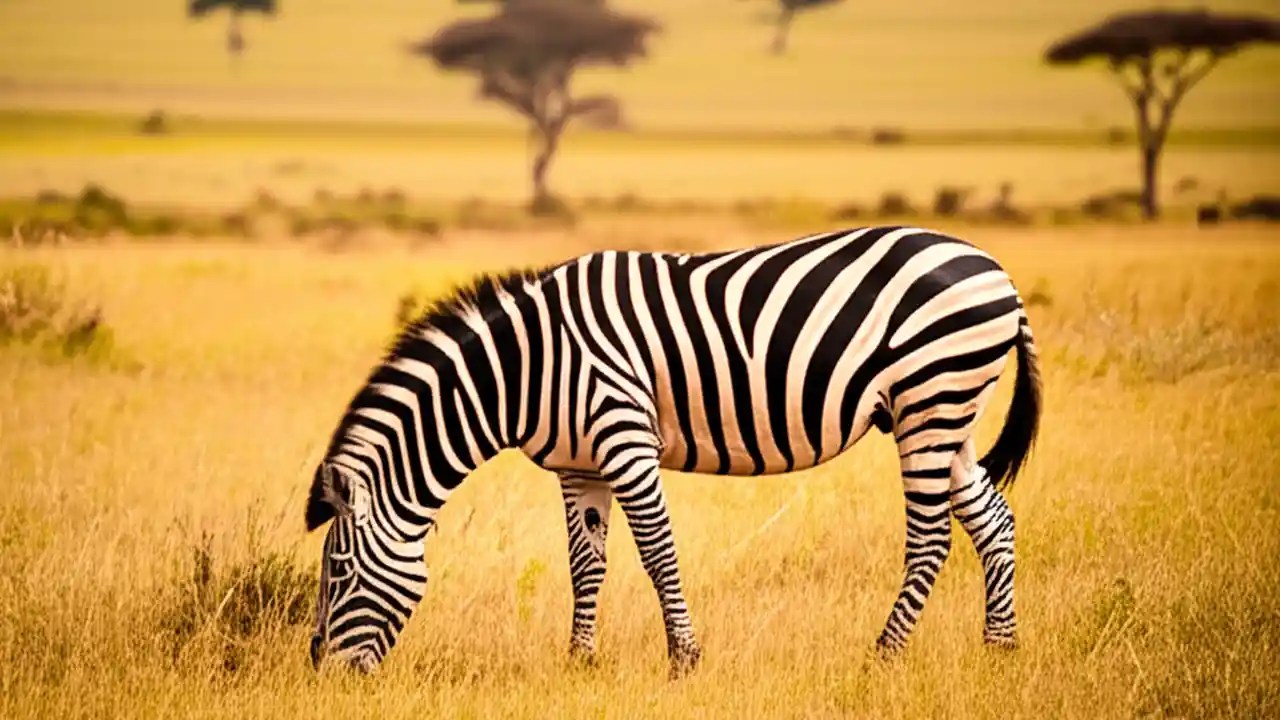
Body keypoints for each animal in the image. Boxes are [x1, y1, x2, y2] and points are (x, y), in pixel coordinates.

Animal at [304, 226, 1042, 676]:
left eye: (337, 572)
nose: (321, 670)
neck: (527, 369)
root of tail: (996, 269)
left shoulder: (624, 435)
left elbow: (658, 552)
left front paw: (684, 658)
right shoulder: (578, 464)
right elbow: (586, 564)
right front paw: (580, 661)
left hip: (932, 397)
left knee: (931, 537)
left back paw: (883, 654)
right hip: (947, 413)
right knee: (994, 519)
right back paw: (1000, 647)